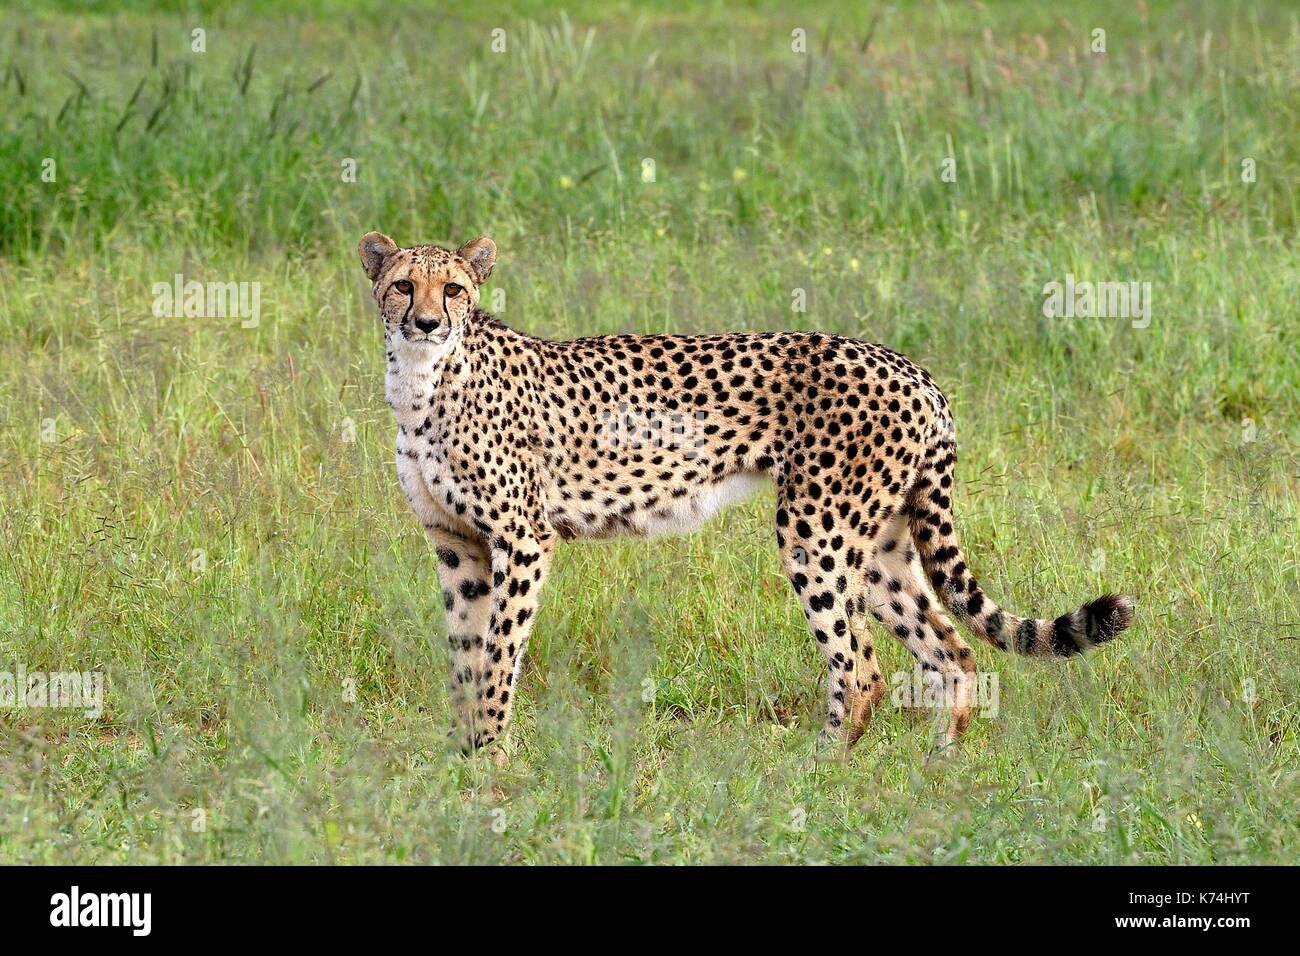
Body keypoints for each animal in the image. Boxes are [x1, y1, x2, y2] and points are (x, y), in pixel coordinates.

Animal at [359, 230, 1135, 759]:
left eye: (454, 289)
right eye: (403, 285)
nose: (427, 322)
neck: (423, 382)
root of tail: (911, 367)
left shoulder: (523, 540)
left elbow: (497, 658)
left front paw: (491, 758)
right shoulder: (458, 547)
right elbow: (464, 653)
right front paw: (460, 758)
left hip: (815, 530)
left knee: (862, 667)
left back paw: (817, 770)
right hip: (881, 544)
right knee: (950, 649)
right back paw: (938, 765)